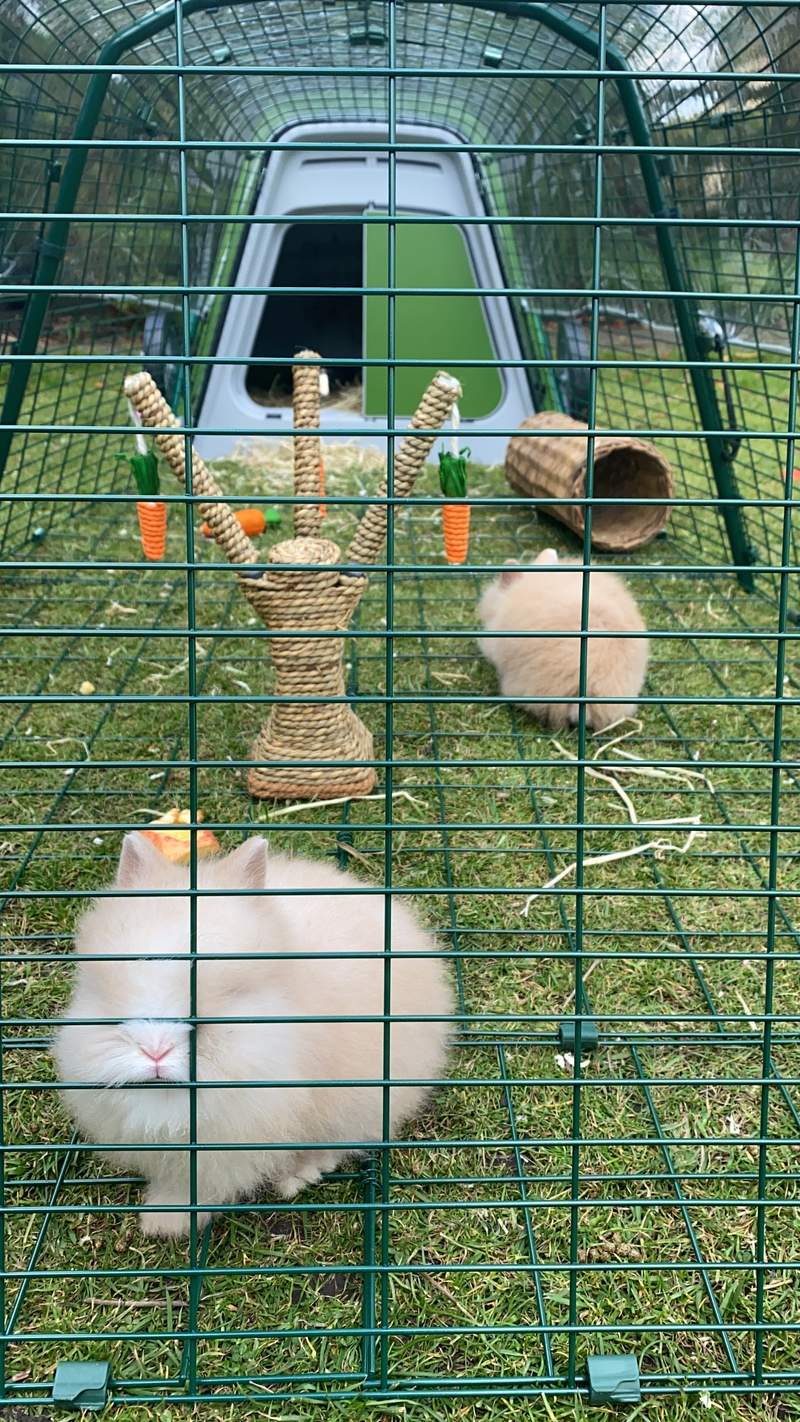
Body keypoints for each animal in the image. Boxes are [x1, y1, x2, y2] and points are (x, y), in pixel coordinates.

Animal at [52, 834, 453, 1238]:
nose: (155, 1052)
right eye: (108, 991)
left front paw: (165, 1223)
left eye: (222, 994)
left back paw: (298, 1175)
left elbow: (198, 1188)